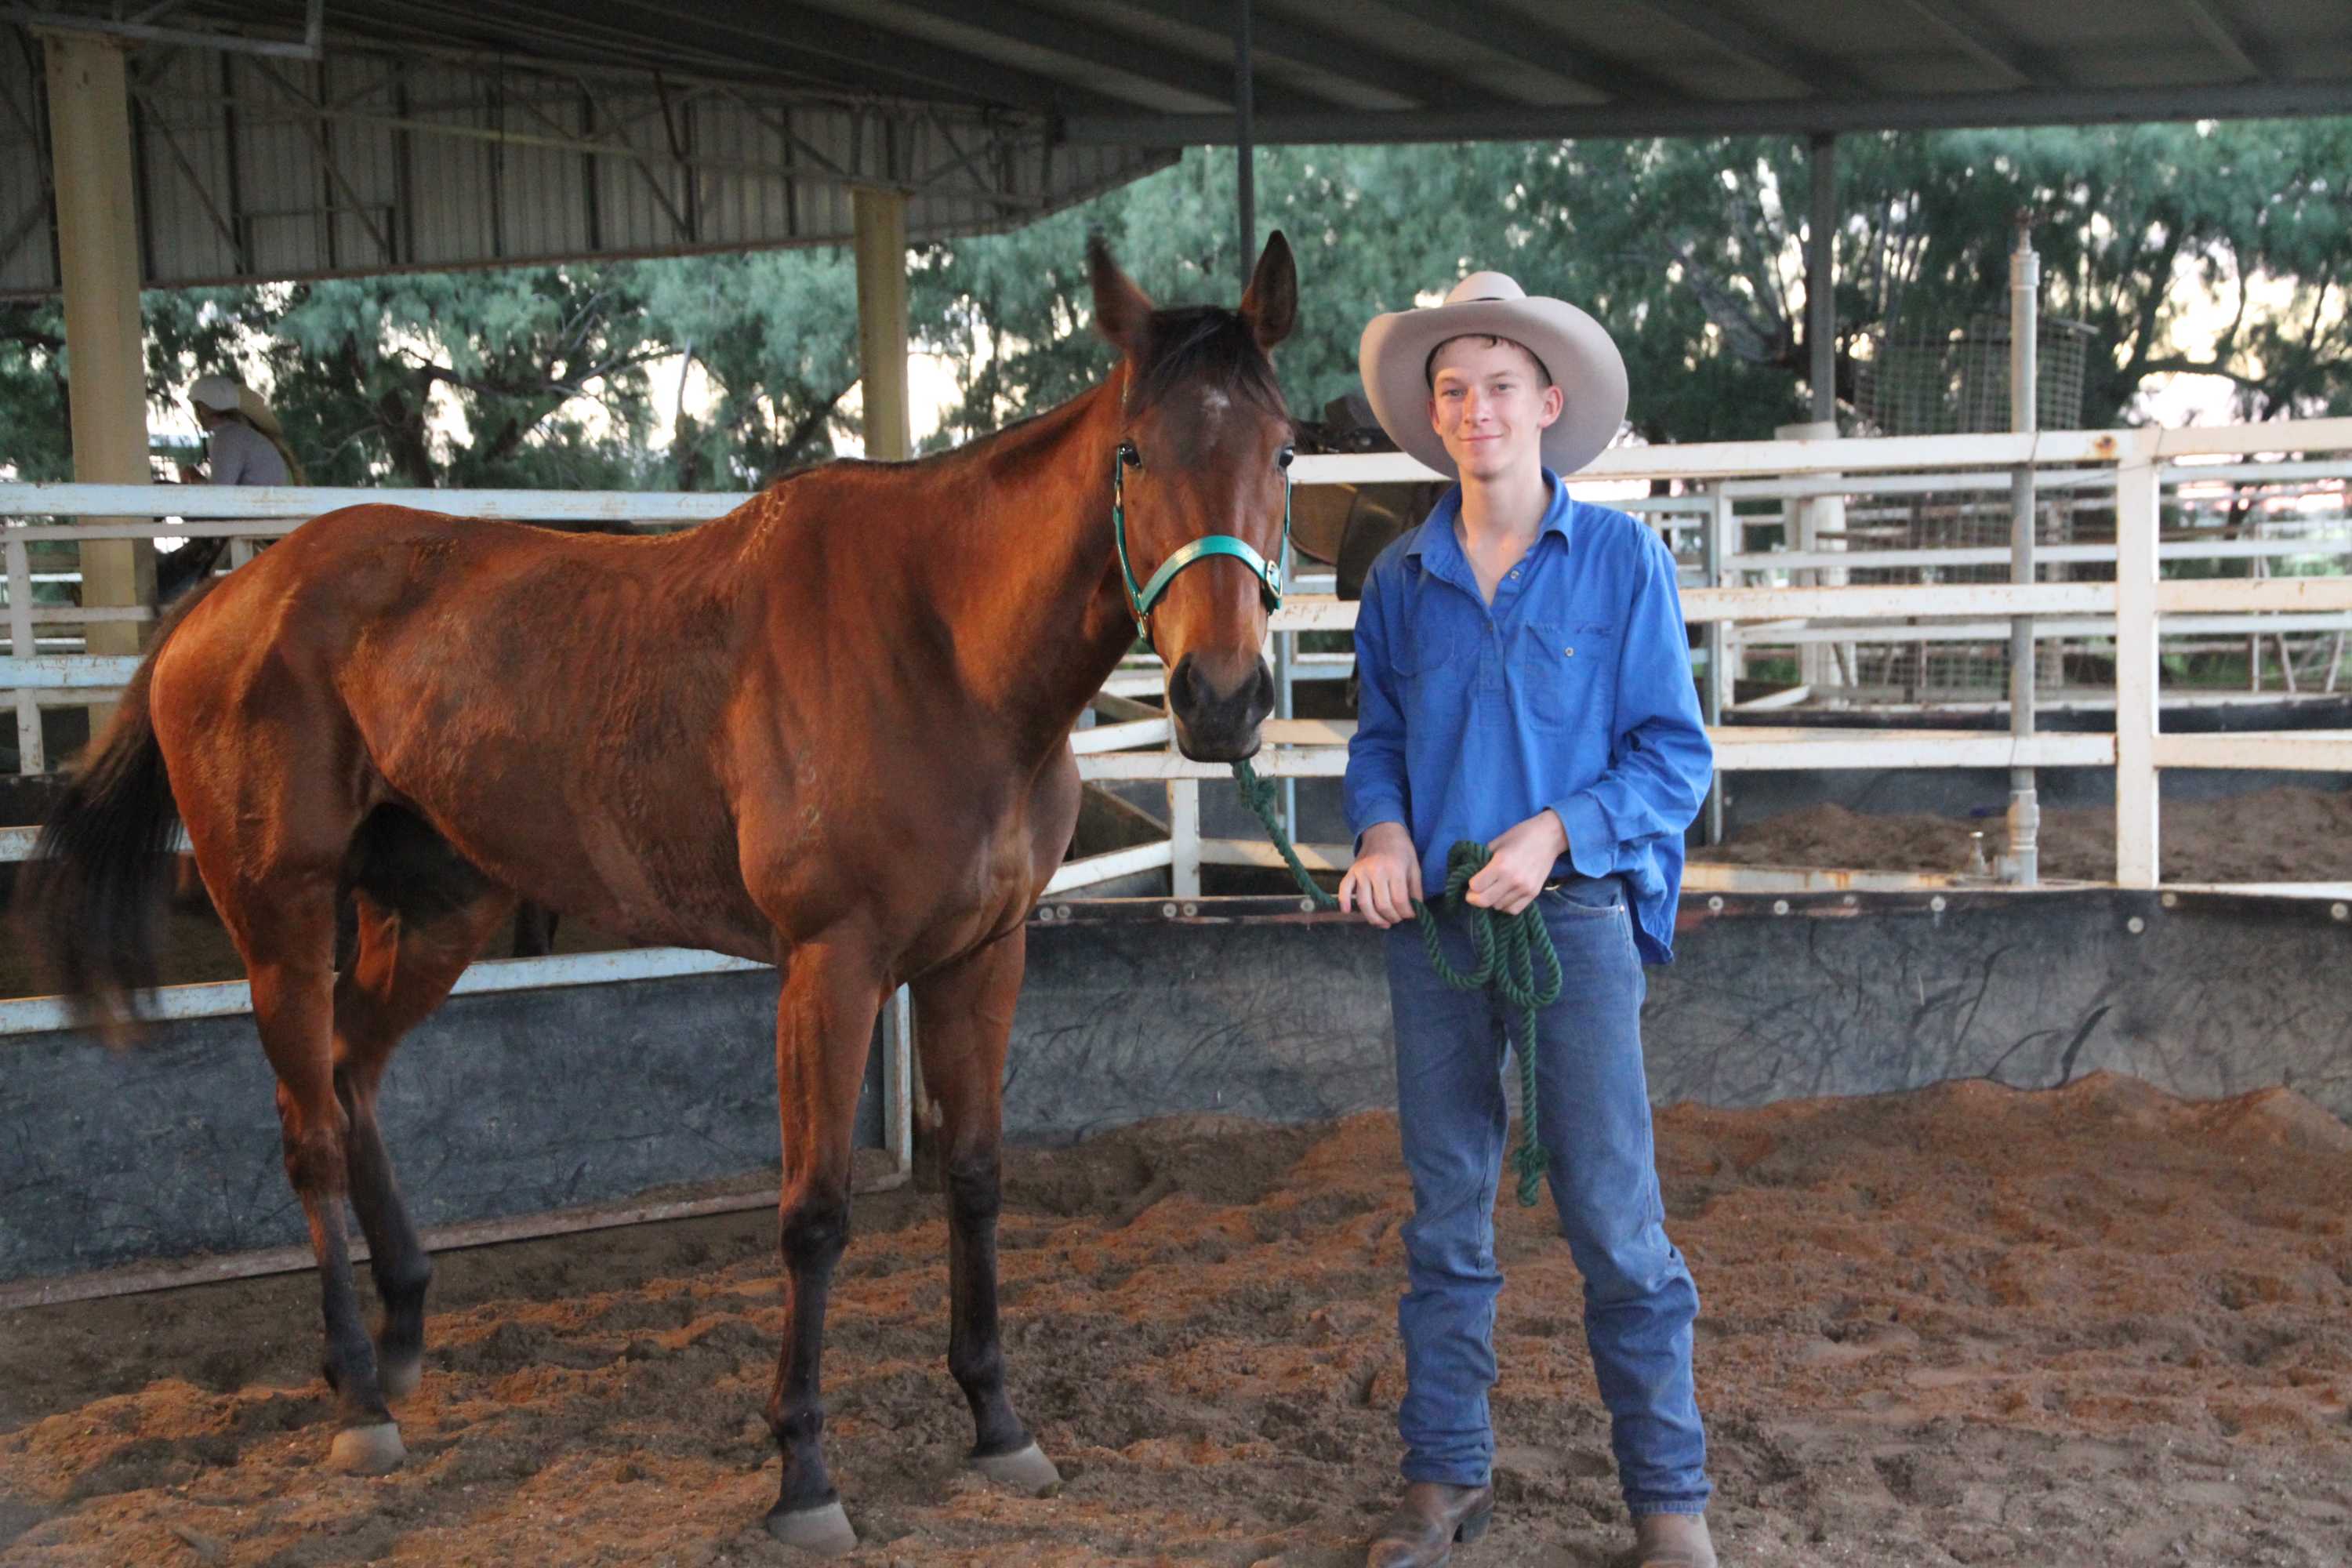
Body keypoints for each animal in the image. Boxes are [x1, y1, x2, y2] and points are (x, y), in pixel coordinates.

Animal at [22, 232, 1299, 1555]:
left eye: (1285, 450)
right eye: (1134, 453)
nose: (1221, 699)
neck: (944, 645)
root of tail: (223, 608)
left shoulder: (983, 954)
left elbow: (980, 1182)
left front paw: (999, 1425)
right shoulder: (831, 966)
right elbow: (814, 1214)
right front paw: (805, 1476)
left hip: (437, 913)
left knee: (350, 1075)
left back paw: (402, 1333)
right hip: (276, 916)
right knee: (310, 1130)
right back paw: (362, 1400)